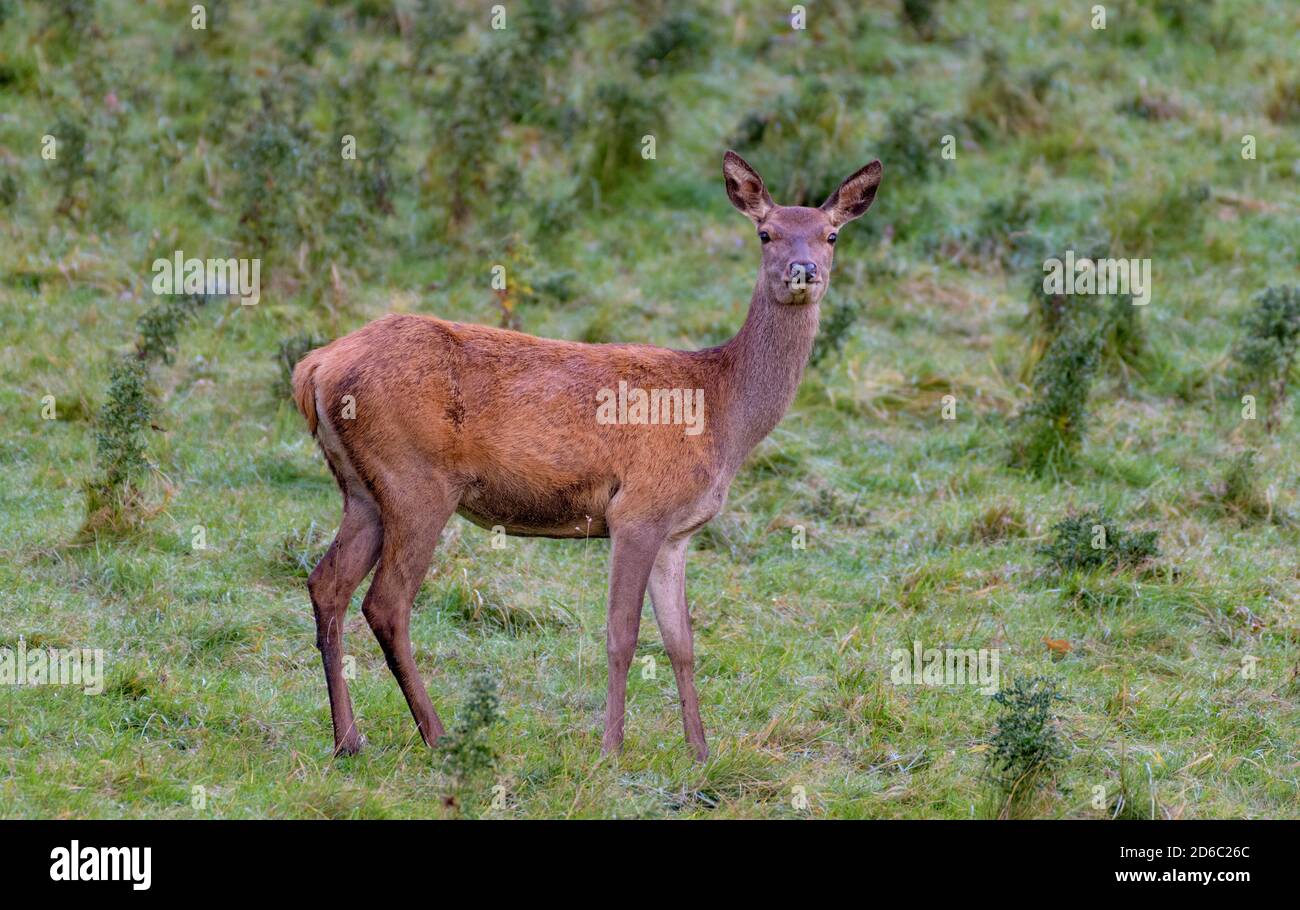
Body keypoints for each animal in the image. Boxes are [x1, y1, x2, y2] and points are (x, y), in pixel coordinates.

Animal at [292, 151, 882, 762]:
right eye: (765, 233)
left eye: (831, 234)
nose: (803, 270)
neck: (722, 413)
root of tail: (313, 367)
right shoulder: (638, 510)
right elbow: (622, 633)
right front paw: (611, 748)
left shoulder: (678, 532)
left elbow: (682, 640)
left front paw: (700, 751)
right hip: (417, 481)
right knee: (387, 604)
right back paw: (436, 734)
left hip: (364, 490)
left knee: (326, 584)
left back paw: (348, 740)